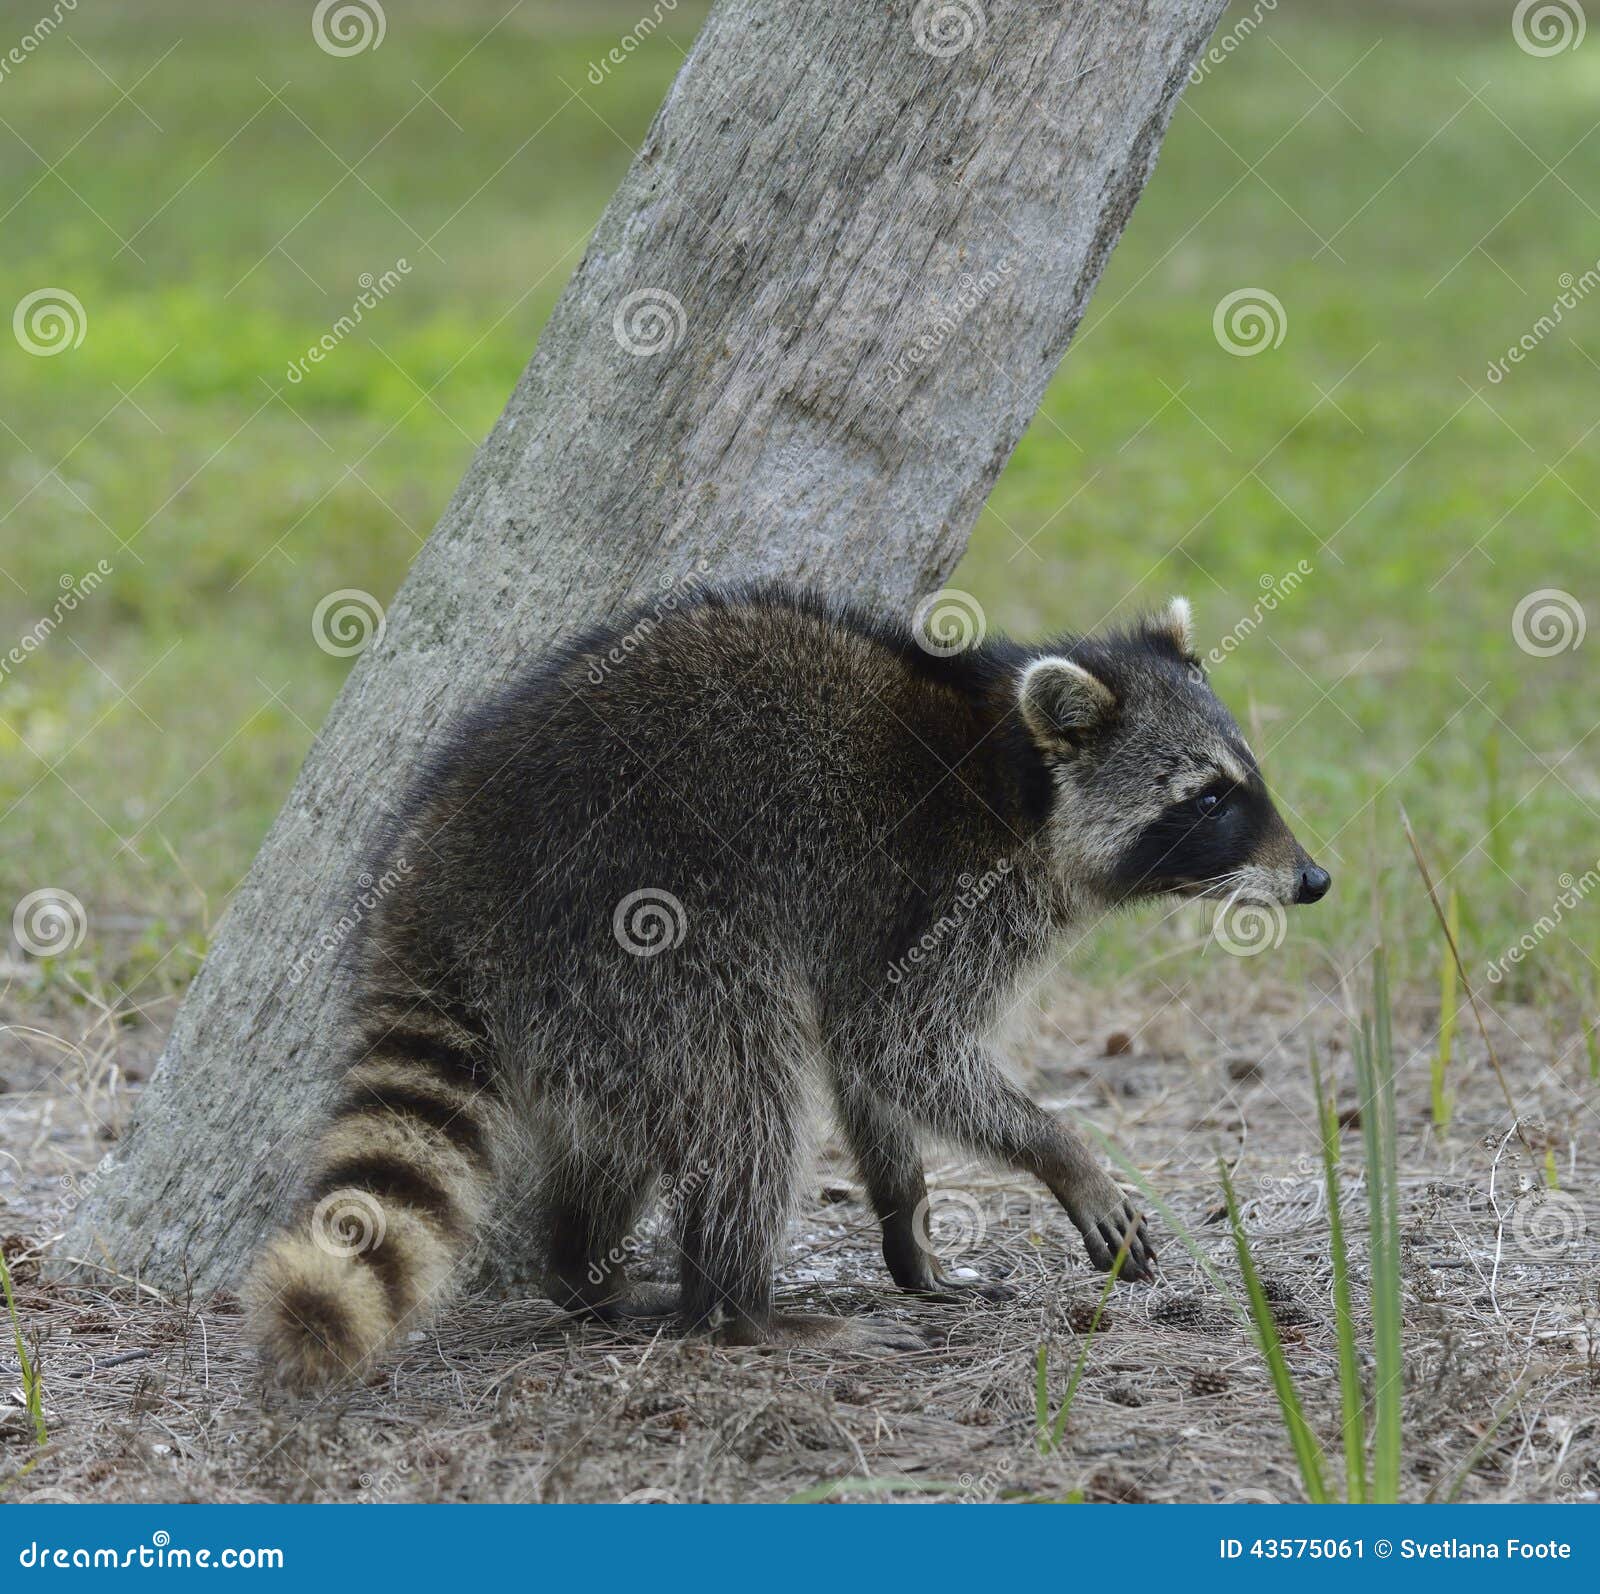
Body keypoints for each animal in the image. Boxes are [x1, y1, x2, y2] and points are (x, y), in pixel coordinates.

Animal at [248, 584, 1329, 1389]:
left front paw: (907, 1227)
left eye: (1248, 781)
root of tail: (441, 873)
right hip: (638, 932)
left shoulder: (879, 923)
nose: (1315, 879)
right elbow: (895, 1042)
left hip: (587, 998)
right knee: (746, 1099)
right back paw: (738, 1310)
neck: (1019, 776)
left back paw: (582, 1269)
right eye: (1208, 799)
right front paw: (1063, 1153)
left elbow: (869, 1068)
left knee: (628, 1130)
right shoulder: (947, 897)